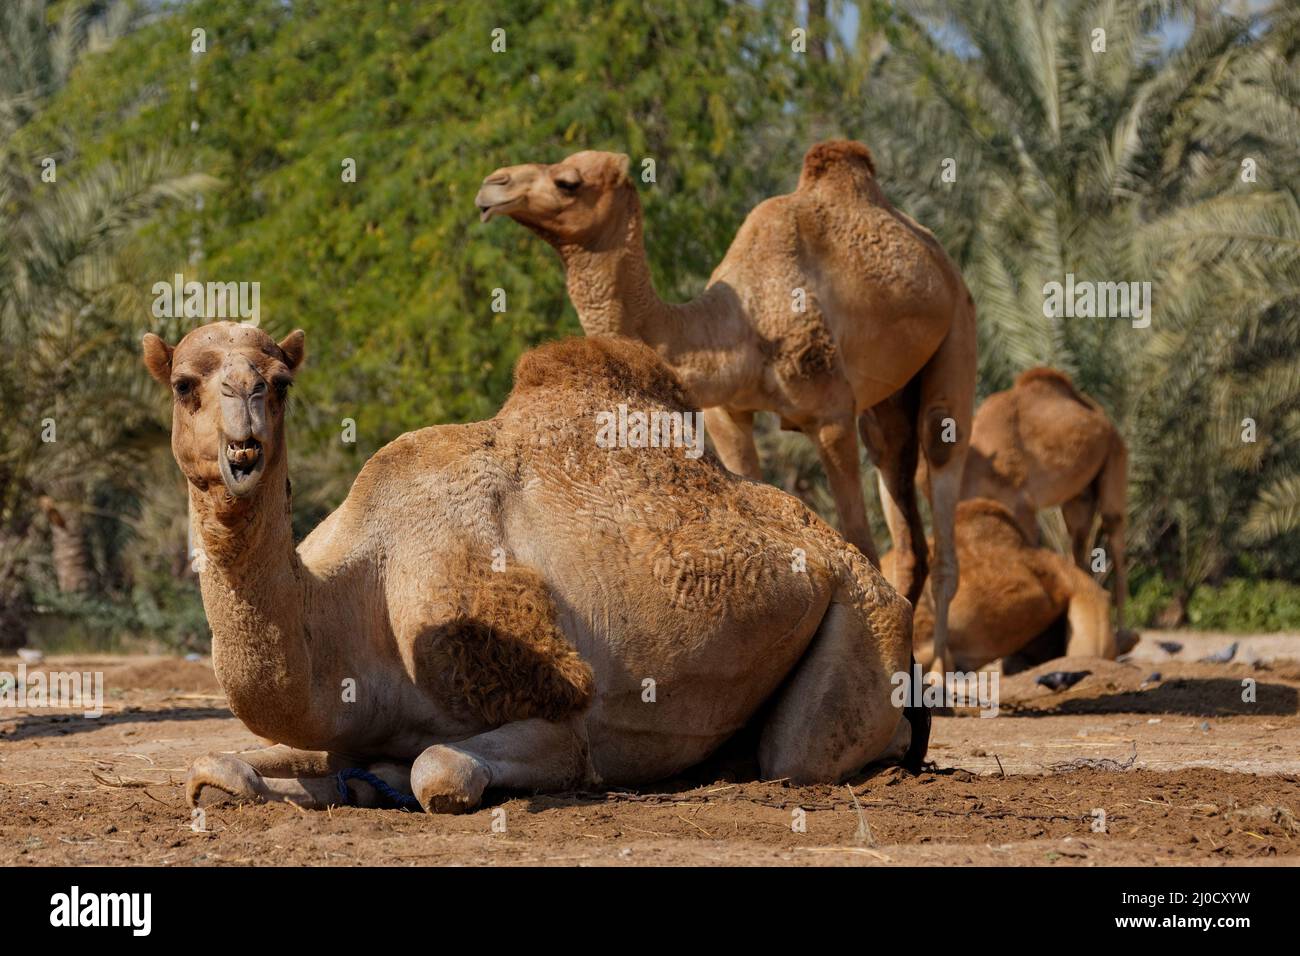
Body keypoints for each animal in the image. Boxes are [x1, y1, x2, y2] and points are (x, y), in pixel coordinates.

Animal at [142, 321, 927, 814]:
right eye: (185, 383)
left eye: (279, 382)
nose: (244, 428)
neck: (358, 599)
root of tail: (837, 548)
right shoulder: (351, 733)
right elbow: (220, 768)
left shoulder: (563, 722)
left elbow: (439, 767)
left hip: (865, 613)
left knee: (802, 754)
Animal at [475, 141, 977, 672]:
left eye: (568, 182)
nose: (492, 186)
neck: (742, 325)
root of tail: (936, 252)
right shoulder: (728, 414)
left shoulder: (830, 414)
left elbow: (860, 541)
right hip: (888, 399)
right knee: (895, 473)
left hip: (958, 329)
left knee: (941, 453)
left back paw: (942, 672)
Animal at [947, 368, 1129, 629]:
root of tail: (1103, 417)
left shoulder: (1021, 502)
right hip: (1080, 495)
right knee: (1079, 540)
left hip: (1115, 455)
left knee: (1114, 532)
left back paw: (1123, 628)